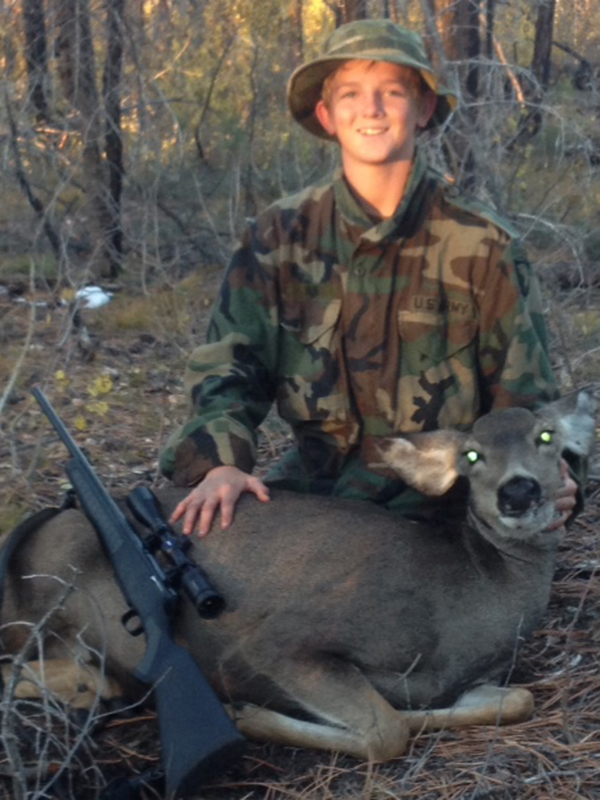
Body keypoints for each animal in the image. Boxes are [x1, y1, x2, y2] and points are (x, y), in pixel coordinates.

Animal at [0, 389, 596, 765]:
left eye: (546, 436)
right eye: (472, 456)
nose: (518, 492)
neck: (465, 603)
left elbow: (513, 701)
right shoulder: (283, 637)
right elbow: (386, 730)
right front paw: (249, 715)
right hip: (54, 579)